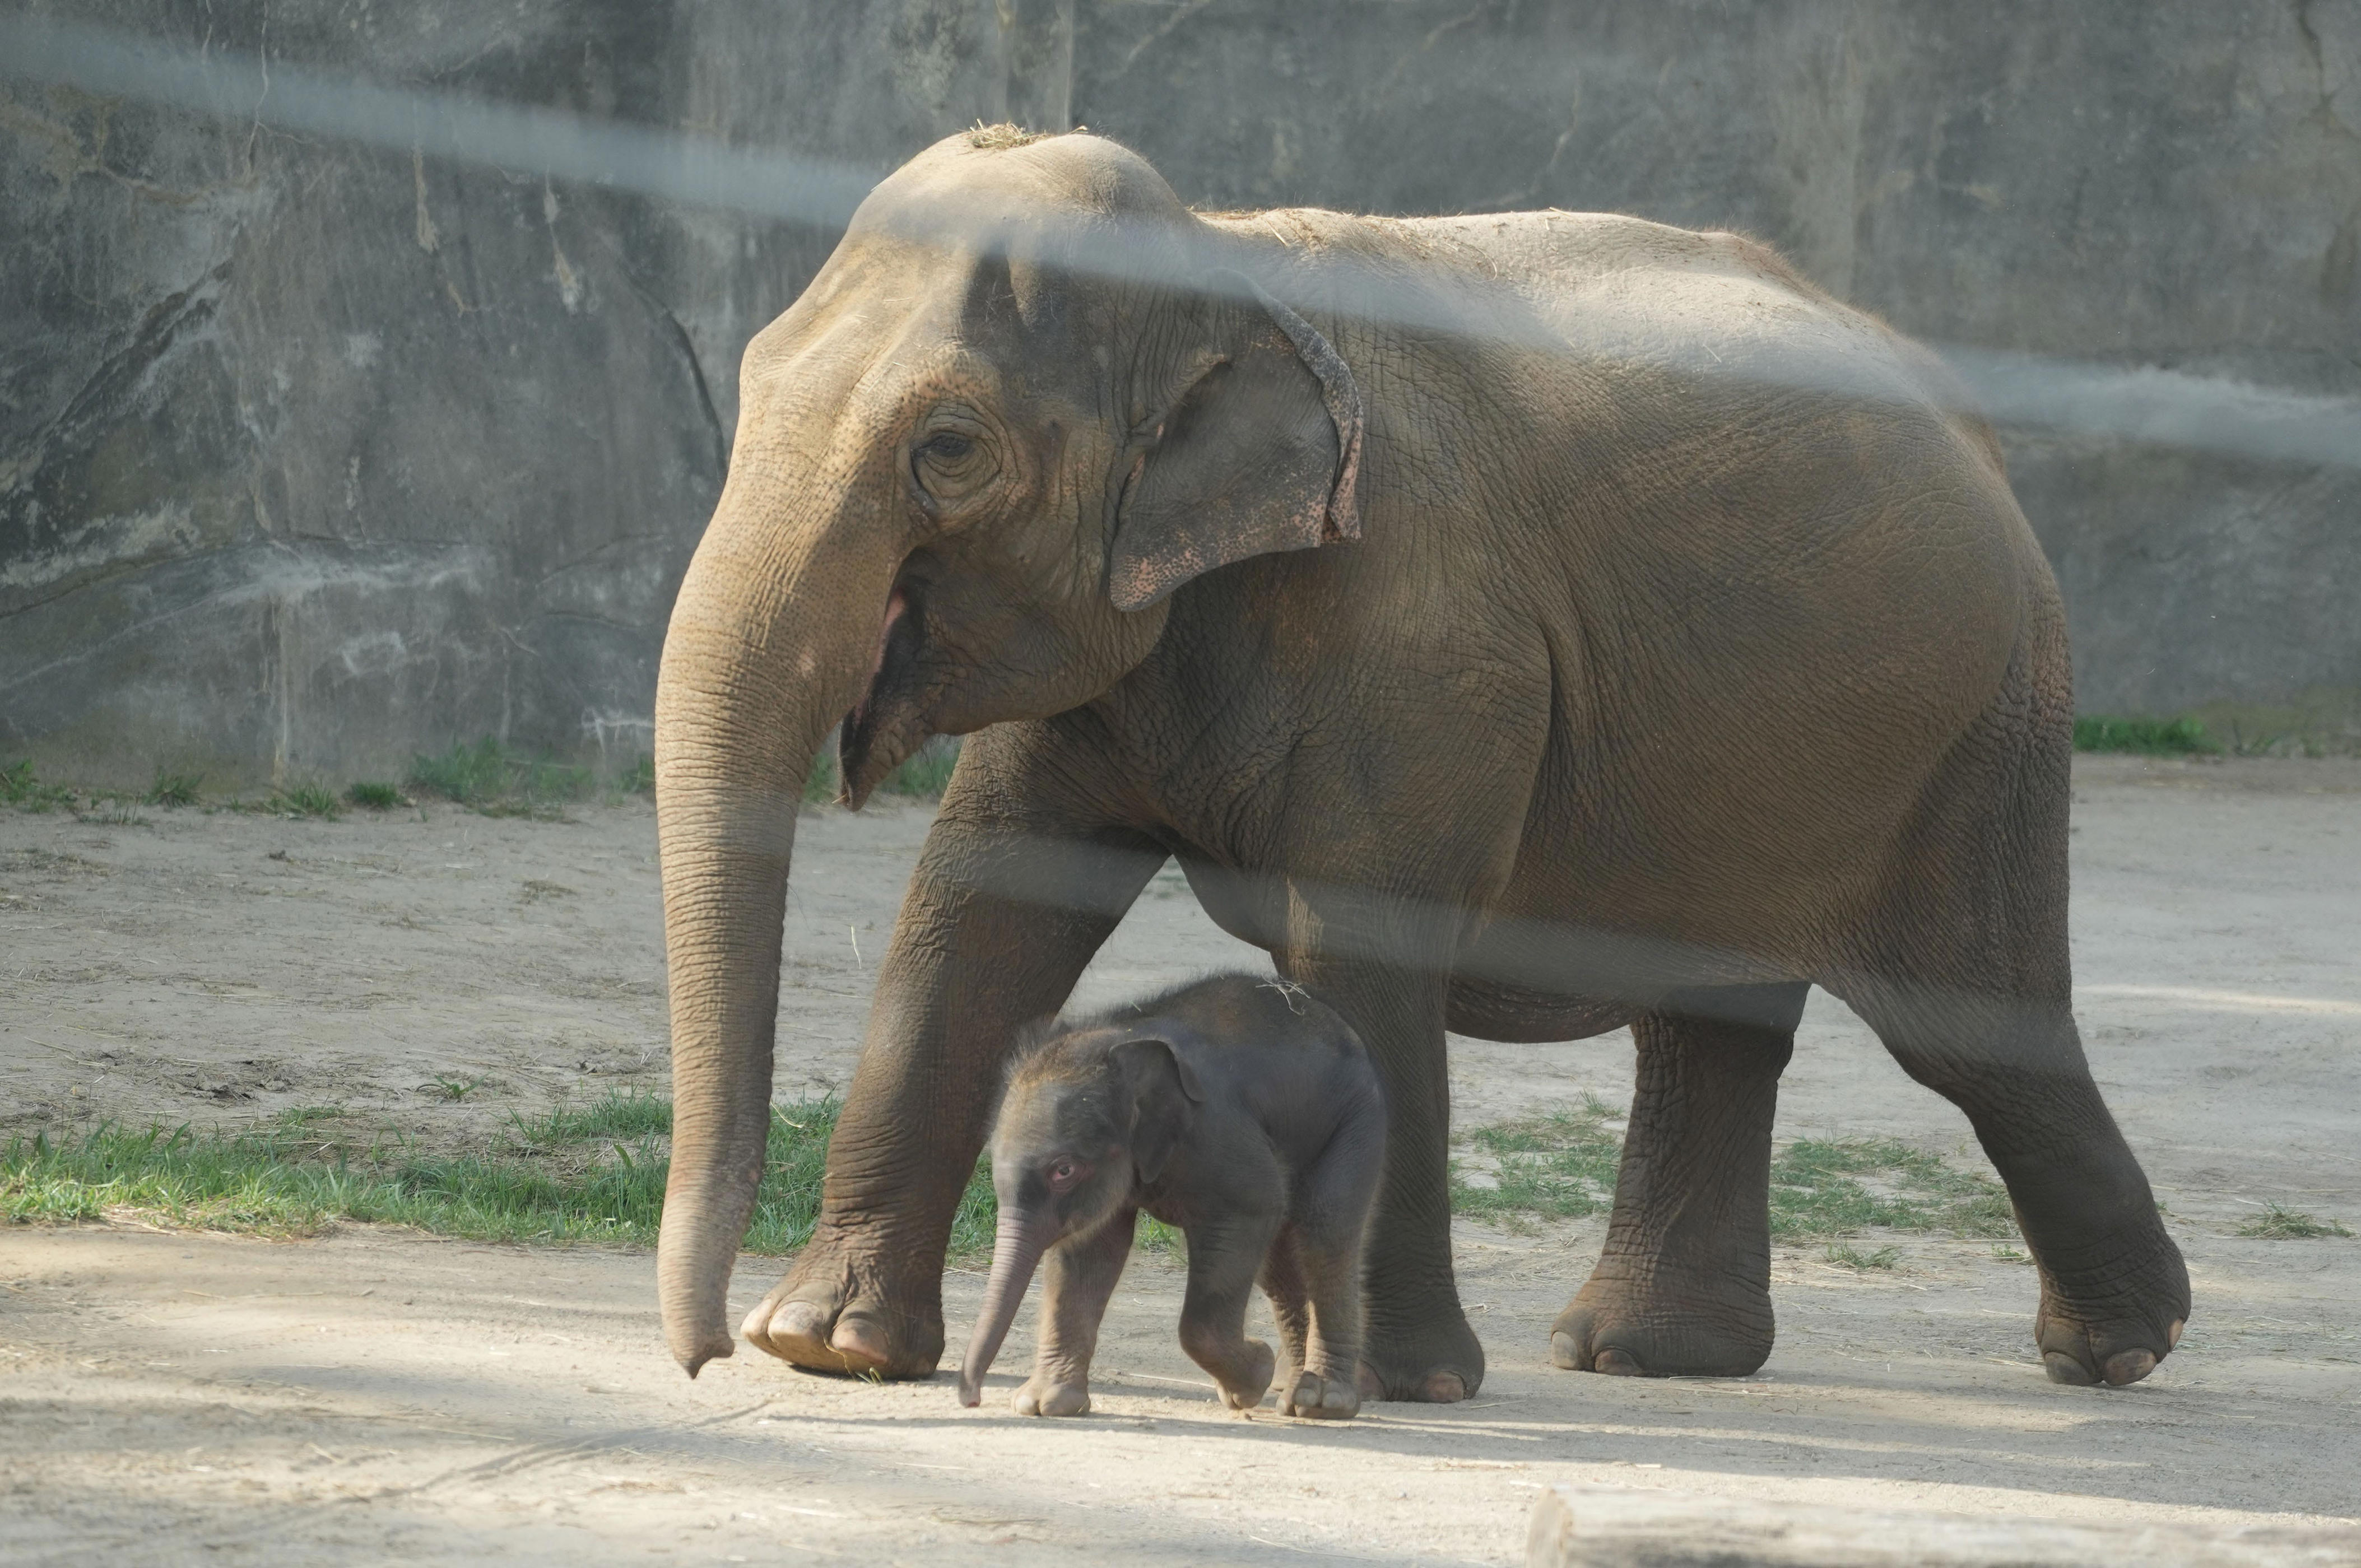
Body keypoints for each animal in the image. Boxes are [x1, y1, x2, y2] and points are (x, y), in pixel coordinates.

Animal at [955, 974, 1385, 1420]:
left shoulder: (1217, 1131)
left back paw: (1321, 1401)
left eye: (1064, 1170)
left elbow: (1255, 1206)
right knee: (1278, 1258)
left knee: (1324, 1230)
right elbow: (1089, 1250)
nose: (972, 1399)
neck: (1122, 1041)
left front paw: (1255, 1374)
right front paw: (1046, 1404)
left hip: (1356, 1121)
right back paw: (1293, 1393)